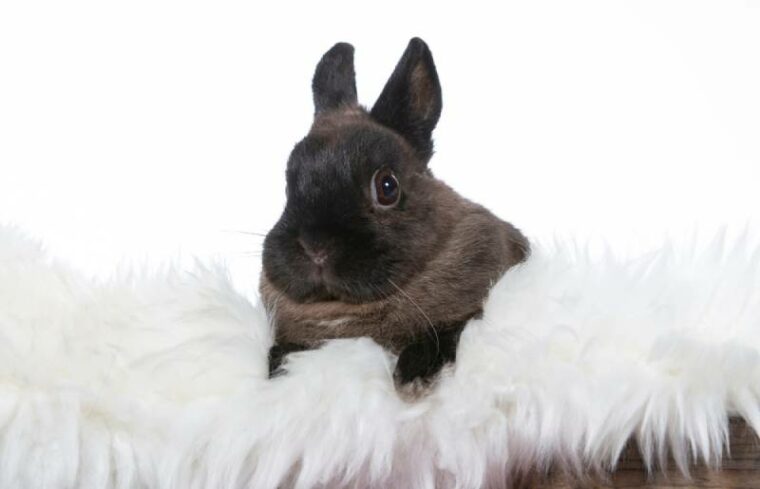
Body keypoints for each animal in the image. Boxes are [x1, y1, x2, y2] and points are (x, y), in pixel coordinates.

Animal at [260, 38, 529, 395]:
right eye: (289, 184)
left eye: (387, 186)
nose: (315, 246)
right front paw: (278, 369)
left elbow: (448, 331)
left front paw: (414, 378)